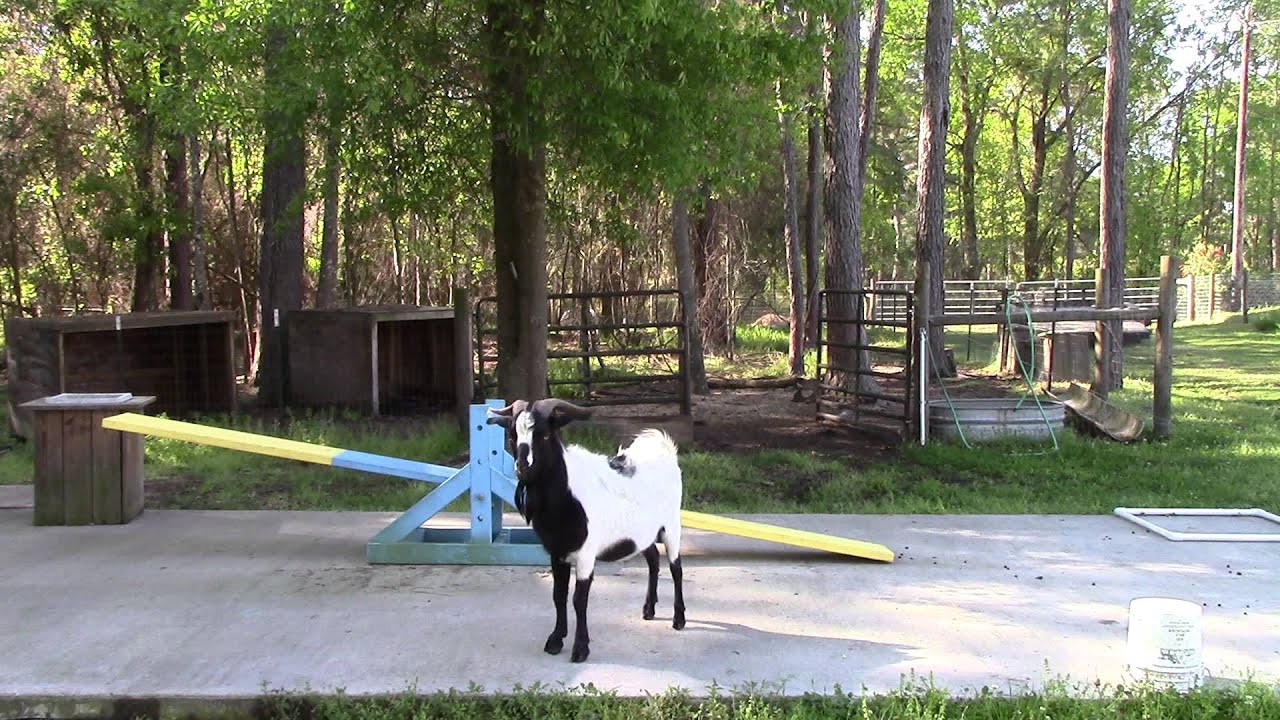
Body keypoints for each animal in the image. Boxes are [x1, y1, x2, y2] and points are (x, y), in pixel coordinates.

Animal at [486, 398, 686, 663]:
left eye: (545, 435)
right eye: (512, 435)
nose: (523, 467)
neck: (567, 496)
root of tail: (663, 448)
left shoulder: (585, 554)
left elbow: (579, 600)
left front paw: (580, 648)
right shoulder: (557, 553)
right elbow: (558, 595)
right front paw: (555, 640)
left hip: (672, 525)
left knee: (676, 568)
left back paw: (679, 619)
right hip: (642, 534)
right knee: (653, 560)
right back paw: (649, 609)